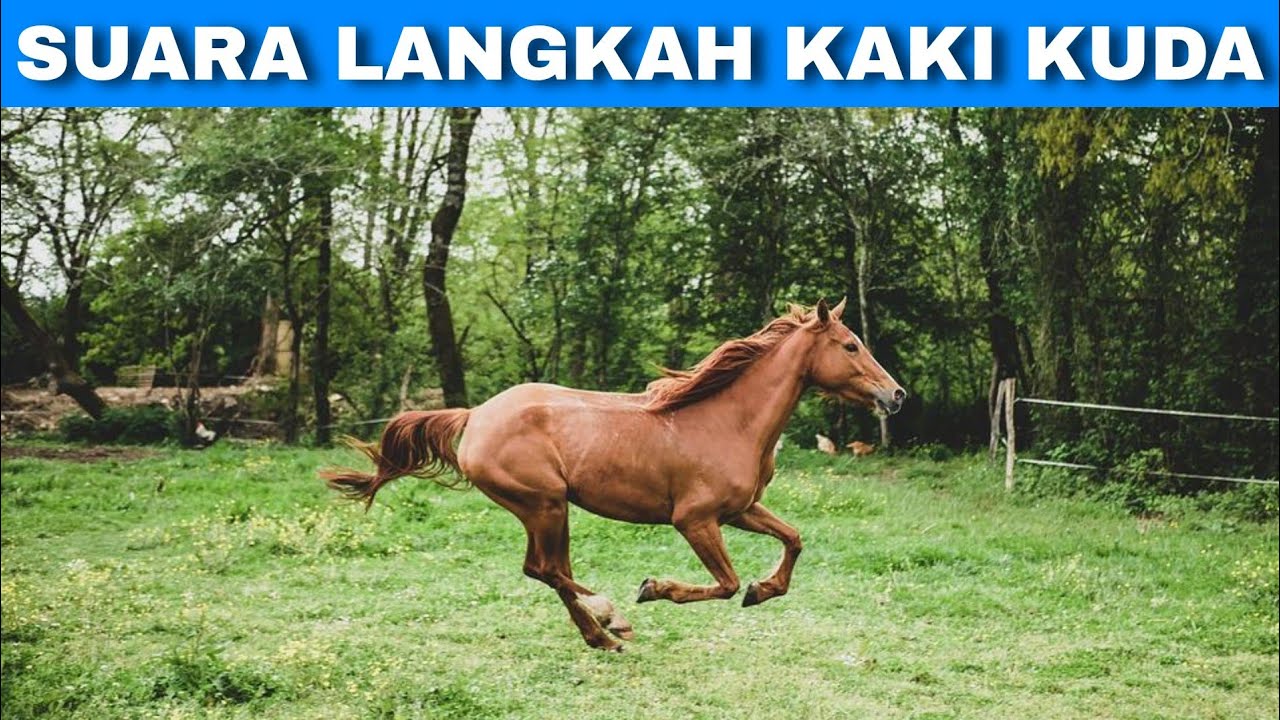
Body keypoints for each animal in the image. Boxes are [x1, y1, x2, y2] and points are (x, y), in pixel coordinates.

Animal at [322, 298, 906, 651]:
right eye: (851, 345)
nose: (896, 394)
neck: (728, 421)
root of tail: (476, 415)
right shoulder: (695, 520)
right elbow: (724, 583)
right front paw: (655, 588)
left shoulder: (740, 510)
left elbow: (794, 539)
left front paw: (764, 590)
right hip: (544, 504)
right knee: (547, 570)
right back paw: (610, 620)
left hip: (549, 511)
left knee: (548, 570)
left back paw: (601, 632)